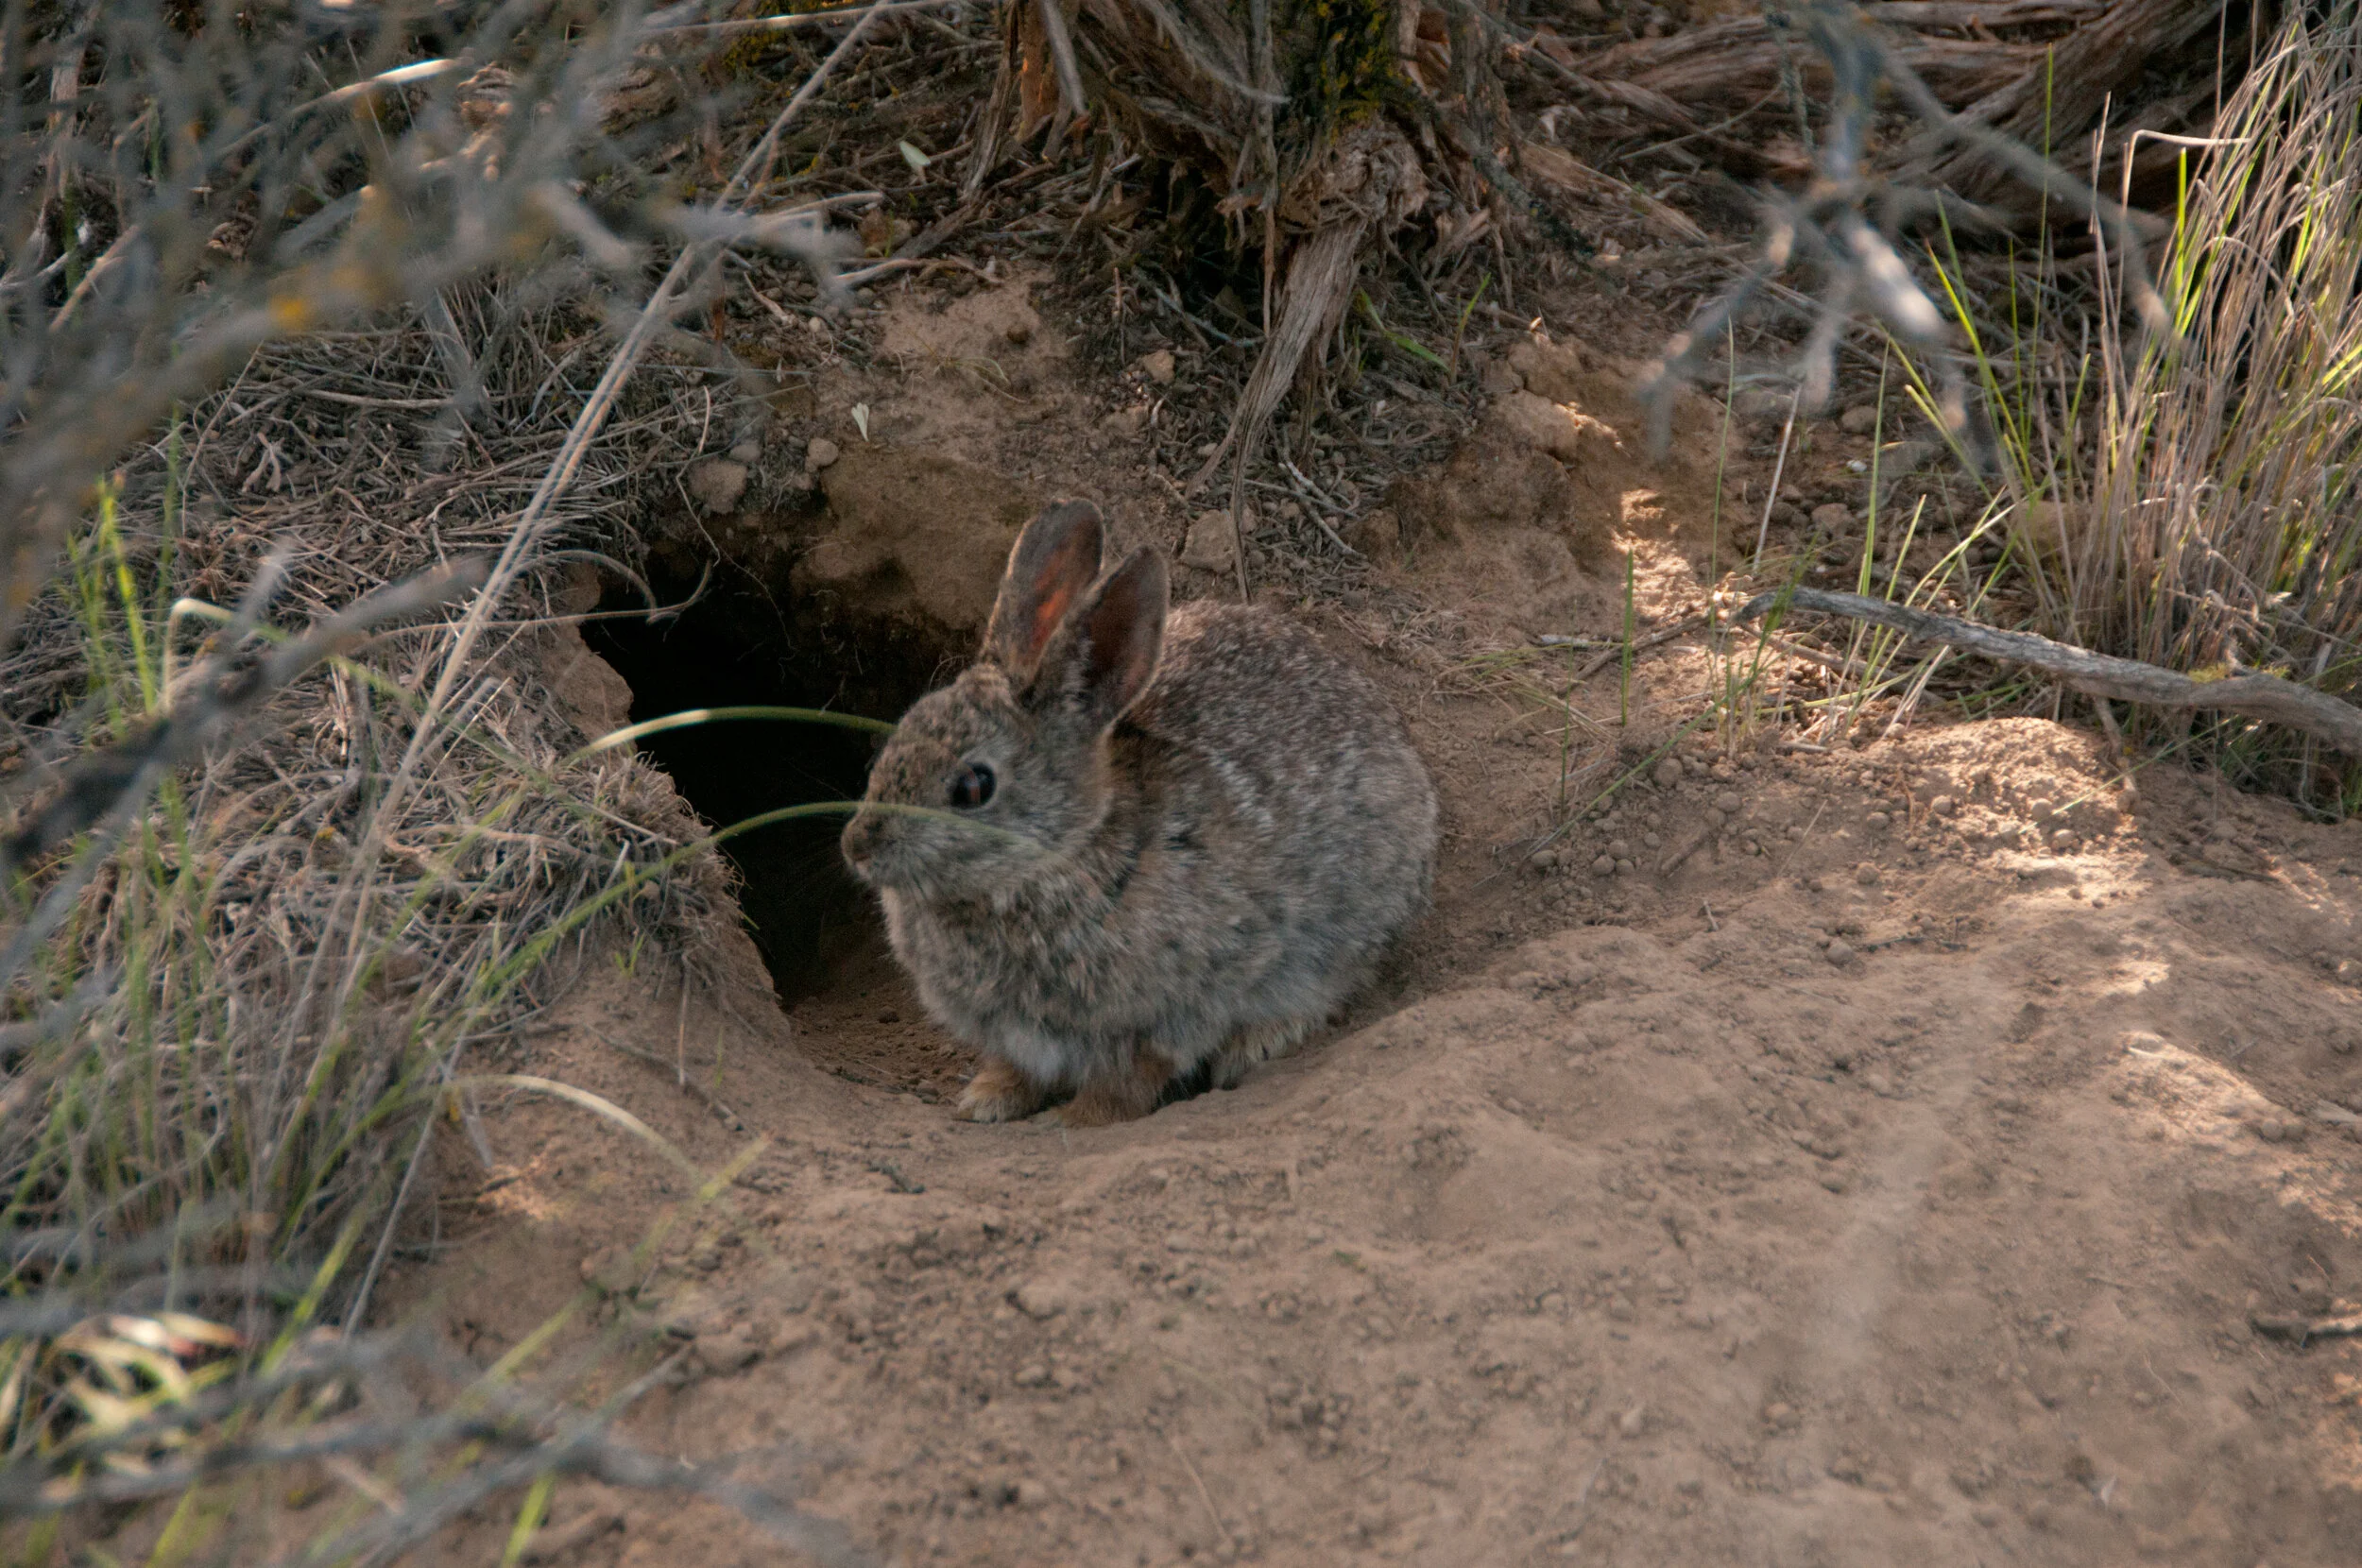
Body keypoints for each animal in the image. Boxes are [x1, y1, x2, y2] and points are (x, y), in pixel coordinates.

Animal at [839, 499, 1437, 1126]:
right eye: (903, 728)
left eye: (975, 786)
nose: (858, 847)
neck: (1065, 857)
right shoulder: (1017, 1035)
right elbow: (1018, 1067)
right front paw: (986, 1101)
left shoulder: (1175, 1010)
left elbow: (1129, 1079)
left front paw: (1075, 1120)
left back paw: (1256, 1045)